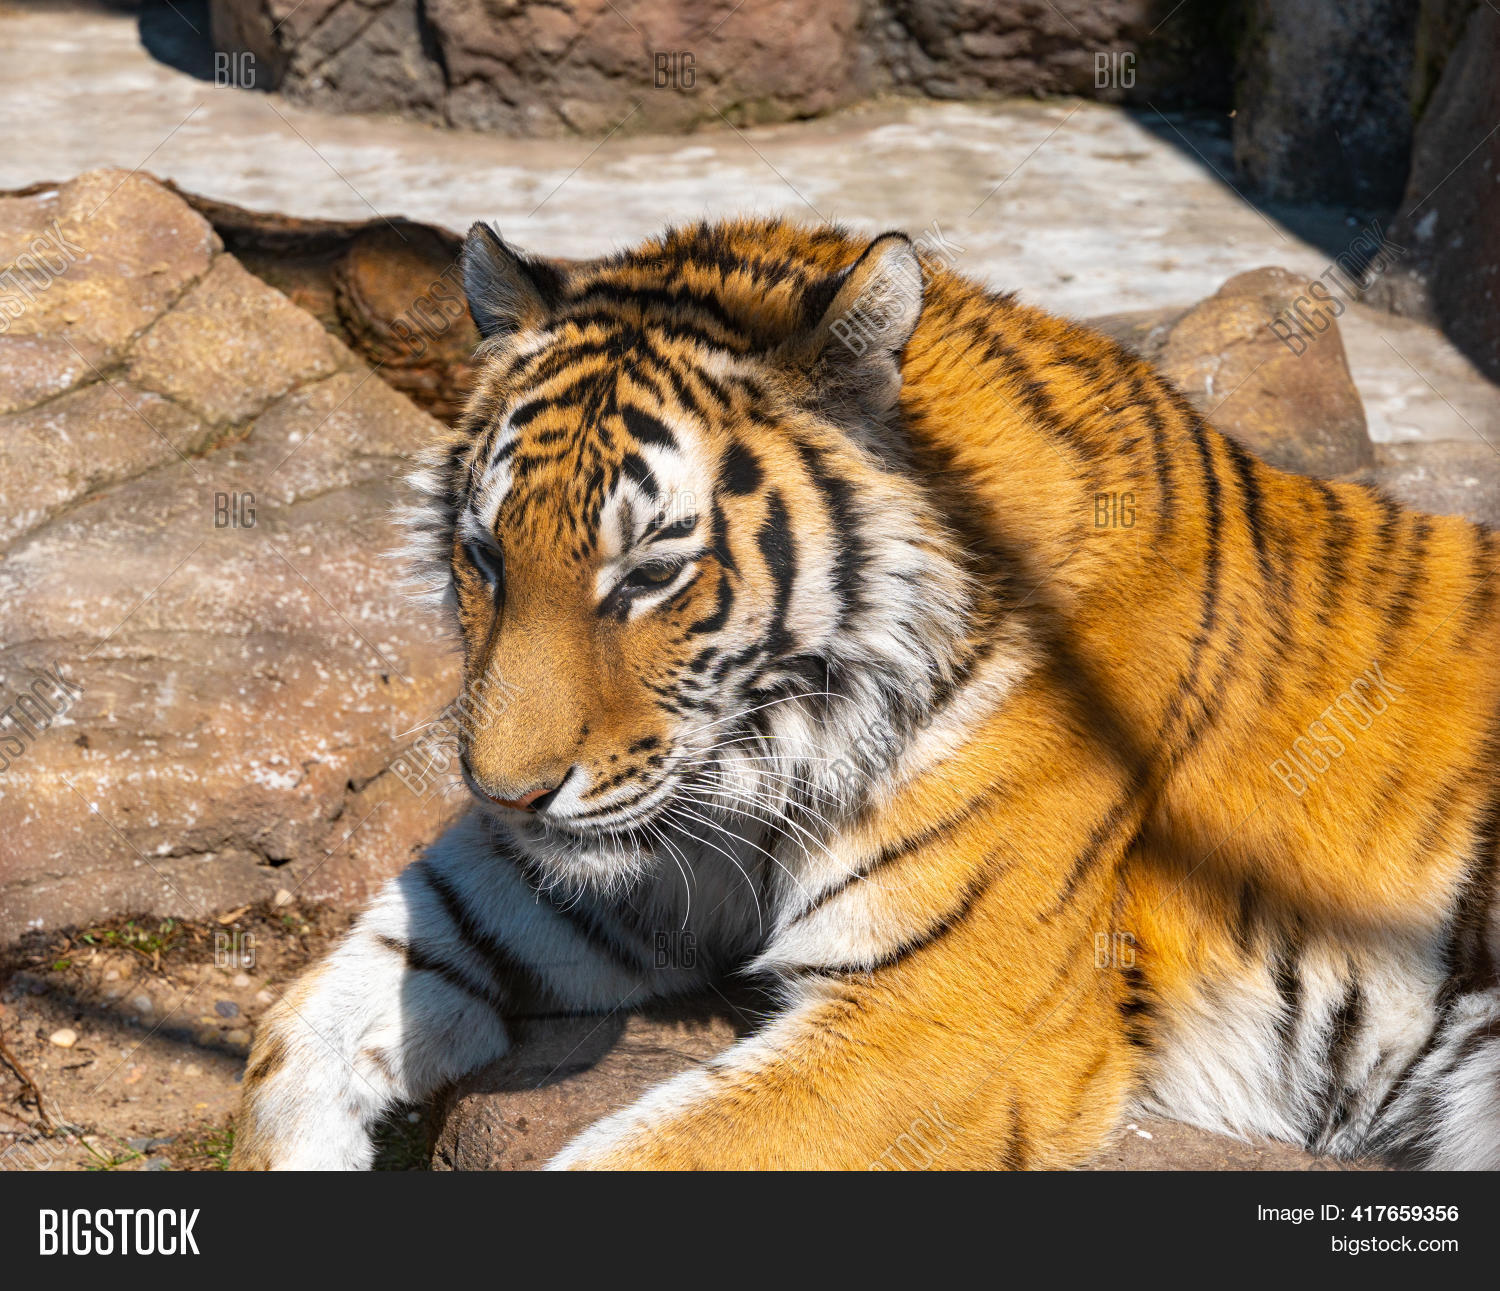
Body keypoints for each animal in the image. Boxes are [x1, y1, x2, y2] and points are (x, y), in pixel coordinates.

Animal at [231, 216, 1500, 1170]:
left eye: (649, 575)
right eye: (488, 557)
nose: (504, 793)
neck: (769, 752)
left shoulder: (948, 1014)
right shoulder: (608, 879)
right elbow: (306, 1024)